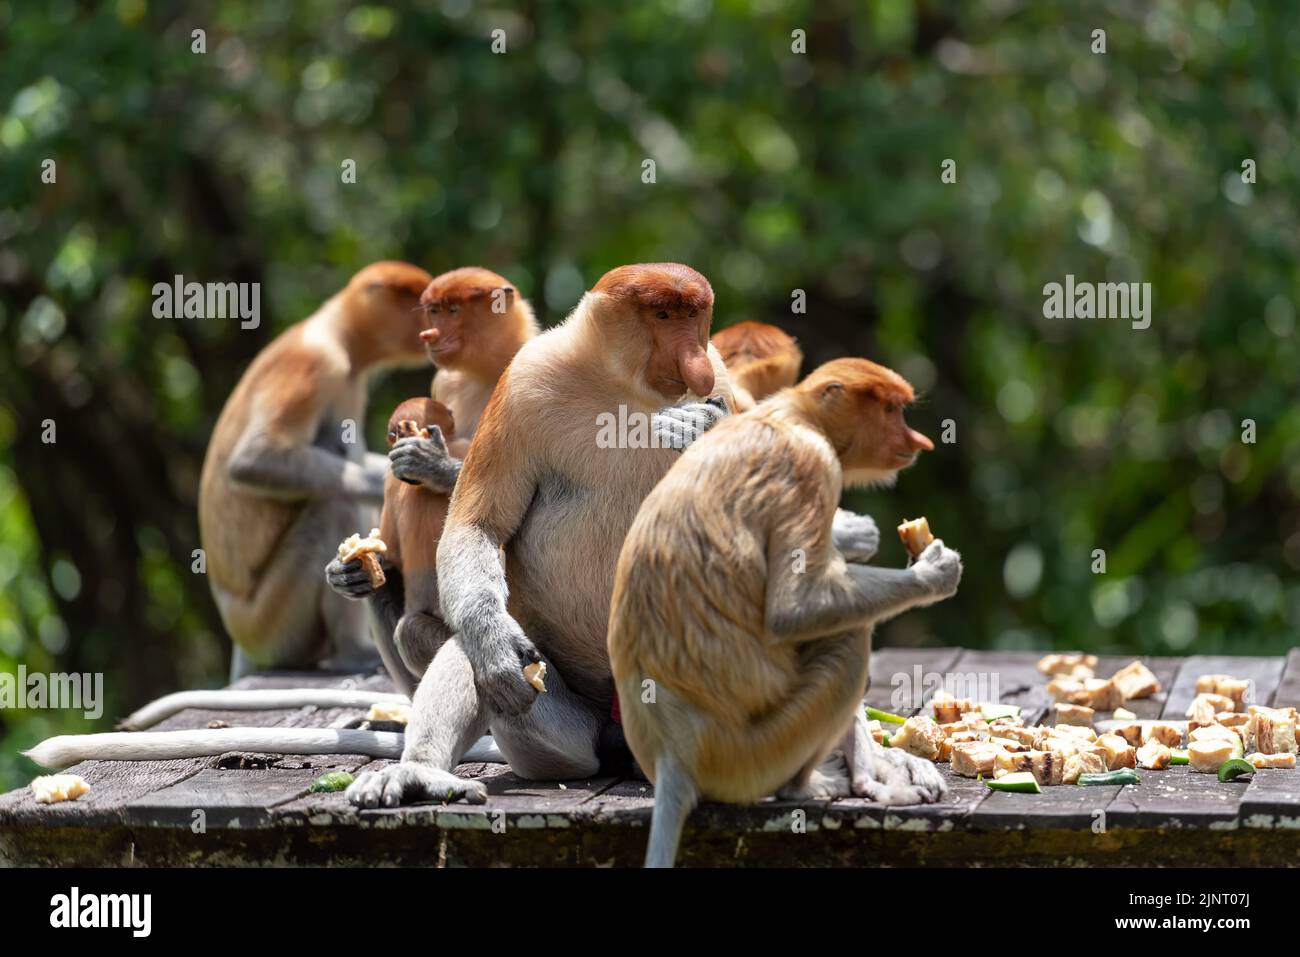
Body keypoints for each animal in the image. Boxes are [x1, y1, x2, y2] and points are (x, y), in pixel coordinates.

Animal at [198, 261, 433, 681]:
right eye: (416, 302)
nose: (427, 327)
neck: (337, 330)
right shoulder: (319, 363)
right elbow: (253, 459)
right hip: (273, 623)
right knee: (333, 503)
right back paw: (354, 653)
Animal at [607, 357, 960, 867]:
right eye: (891, 410)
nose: (920, 442)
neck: (795, 414)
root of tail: (675, 751)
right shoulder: (813, 466)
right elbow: (793, 611)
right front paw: (935, 572)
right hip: (755, 752)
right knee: (848, 639)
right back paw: (821, 786)